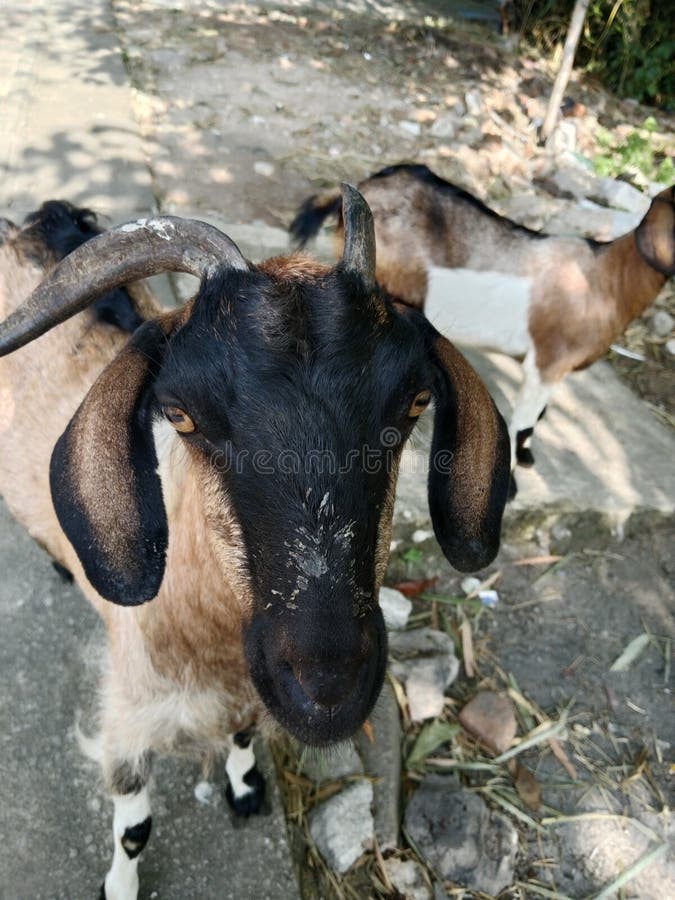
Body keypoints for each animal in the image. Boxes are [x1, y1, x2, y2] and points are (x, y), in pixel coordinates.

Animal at [0, 186, 510, 899]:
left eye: (414, 402)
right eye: (179, 413)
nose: (326, 689)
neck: (207, 633)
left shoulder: (247, 689)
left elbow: (242, 736)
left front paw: (244, 790)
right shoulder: (127, 716)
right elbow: (134, 827)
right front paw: (119, 887)